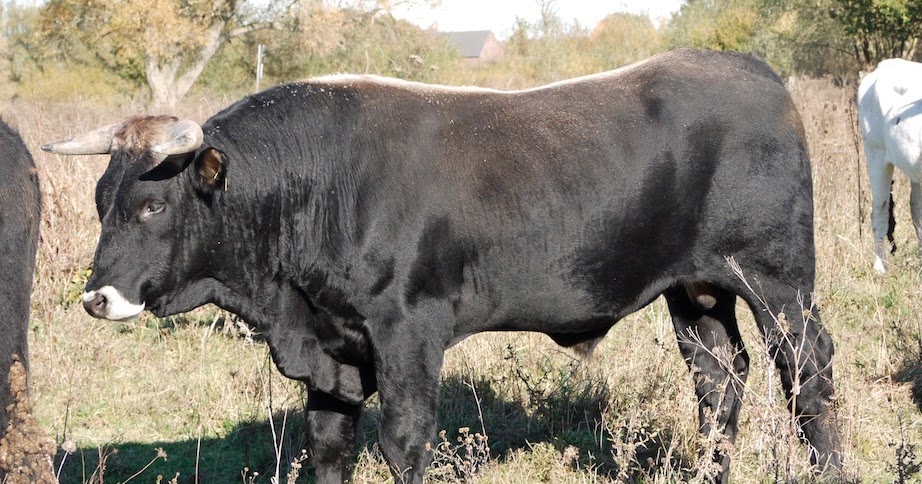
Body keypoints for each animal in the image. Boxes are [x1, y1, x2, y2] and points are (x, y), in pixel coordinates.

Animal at [43, 49, 841, 483]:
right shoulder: (333, 349)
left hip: (777, 280)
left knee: (807, 374)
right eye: (100, 200)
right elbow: (328, 443)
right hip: (696, 292)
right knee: (720, 380)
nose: (96, 297)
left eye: (152, 207)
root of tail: (755, 74)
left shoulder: (408, 334)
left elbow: (404, 440)